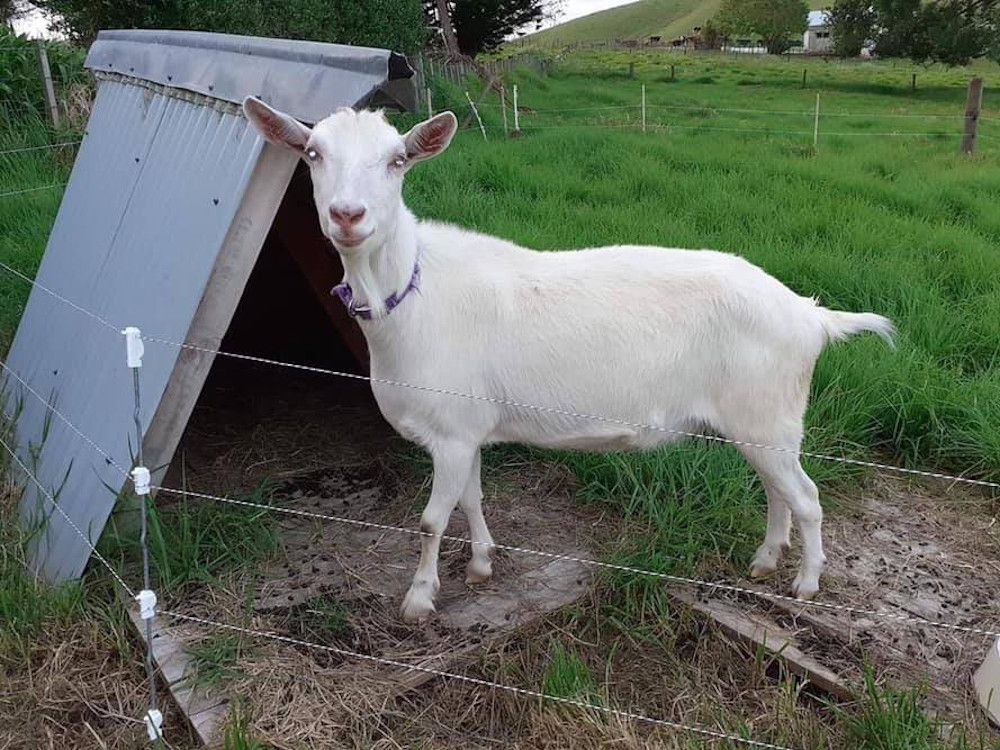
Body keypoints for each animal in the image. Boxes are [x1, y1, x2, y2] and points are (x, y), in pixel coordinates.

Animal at [243, 99, 895, 623]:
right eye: (311, 153)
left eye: (398, 160)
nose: (347, 216)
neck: (413, 295)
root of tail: (809, 315)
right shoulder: (467, 428)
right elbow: (471, 500)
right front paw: (481, 565)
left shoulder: (450, 432)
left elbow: (431, 519)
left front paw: (419, 600)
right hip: (760, 422)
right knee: (777, 491)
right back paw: (764, 560)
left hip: (769, 413)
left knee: (806, 498)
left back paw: (806, 583)